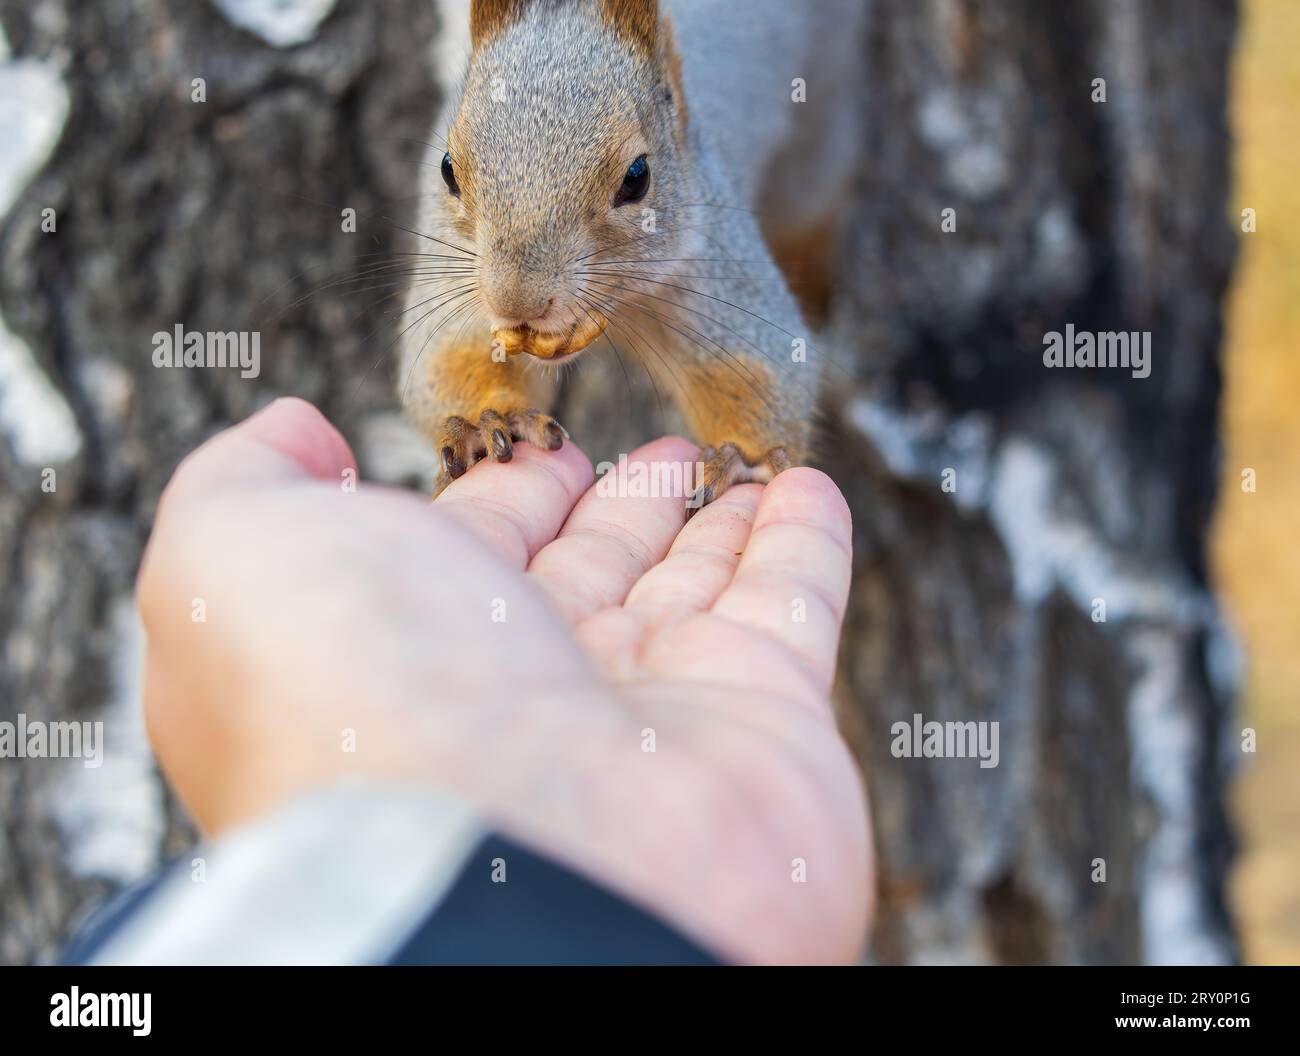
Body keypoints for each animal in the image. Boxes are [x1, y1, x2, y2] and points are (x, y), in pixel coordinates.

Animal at [399, 0, 864, 507]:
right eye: (447, 169)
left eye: (637, 177)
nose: (517, 303)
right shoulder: (453, 277)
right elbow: (444, 356)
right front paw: (489, 419)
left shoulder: (715, 266)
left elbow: (767, 368)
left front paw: (742, 459)